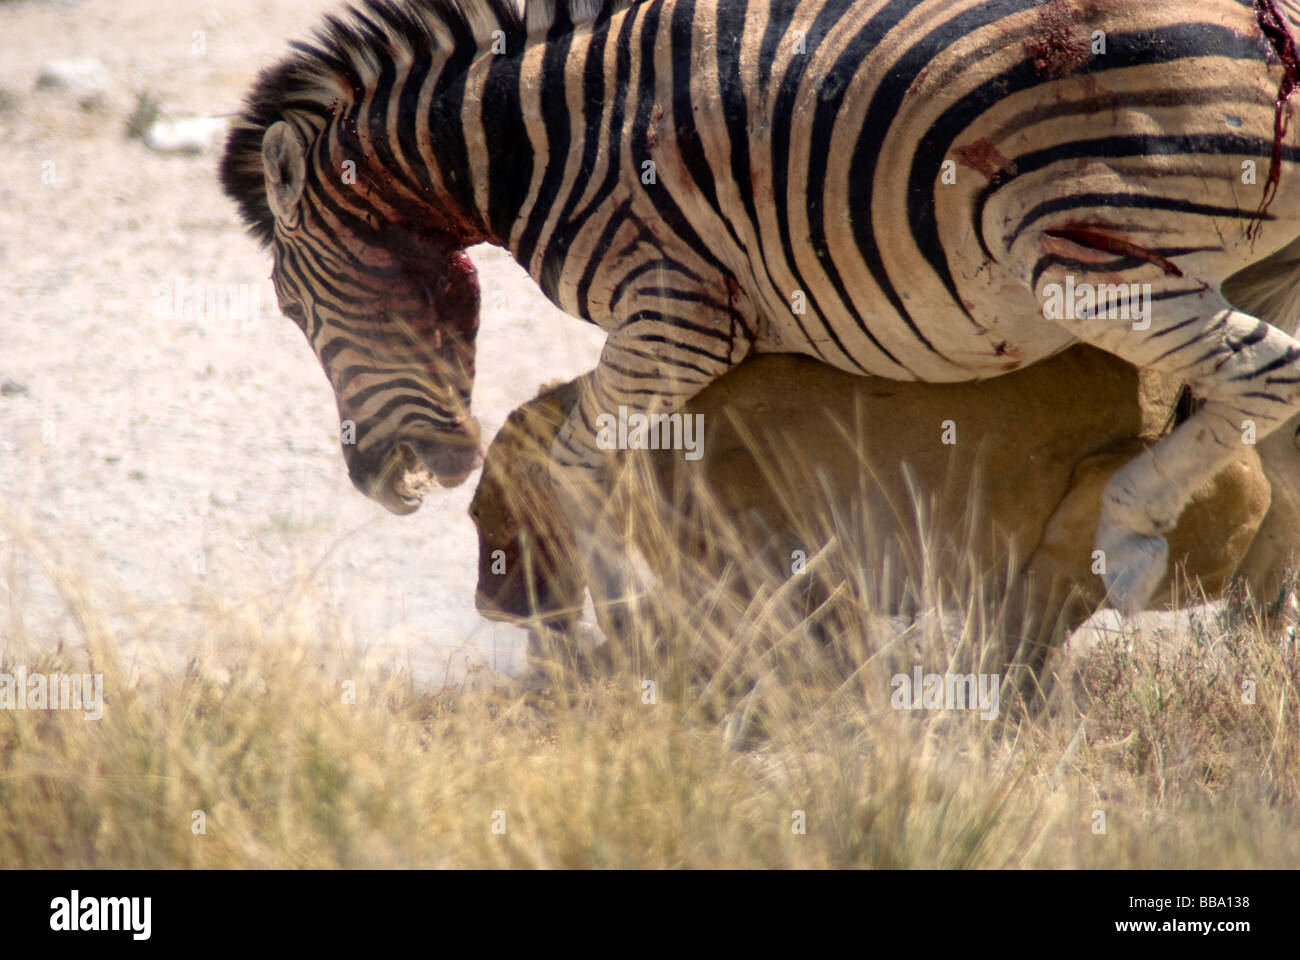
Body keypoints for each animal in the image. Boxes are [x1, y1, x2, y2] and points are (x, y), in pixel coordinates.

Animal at [221, 0, 1300, 617]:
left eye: (292, 309)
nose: (376, 483)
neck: (542, 141)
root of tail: (1266, 21)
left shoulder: (673, 316)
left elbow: (576, 464)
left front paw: (609, 605)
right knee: (1271, 424)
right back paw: (1250, 637)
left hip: (1086, 255)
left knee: (1269, 376)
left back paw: (1131, 535)